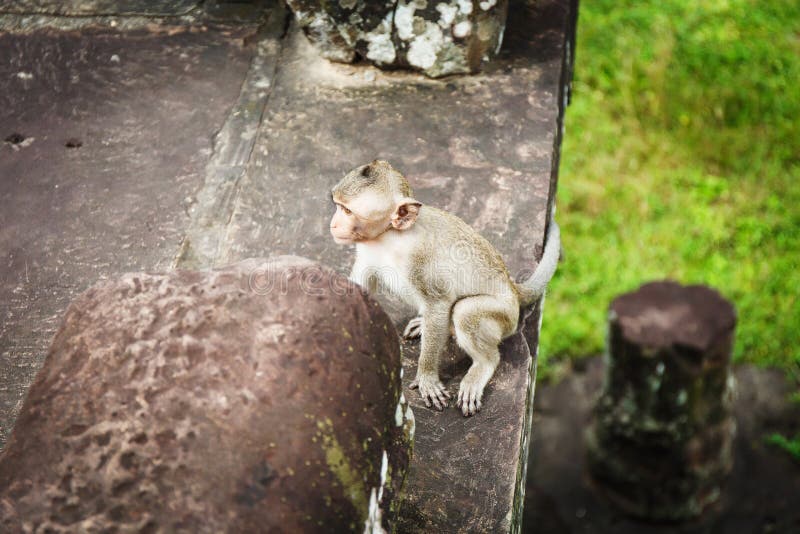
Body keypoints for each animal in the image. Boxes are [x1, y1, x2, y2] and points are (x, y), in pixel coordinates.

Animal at [330, 160, 560, 416]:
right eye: (338, 206)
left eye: (348, 211)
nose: (333, 224)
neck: (390, 236)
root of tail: (512, 287)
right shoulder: (367, 250)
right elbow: (355, 292)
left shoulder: (421, 261)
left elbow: (439, 303)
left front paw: (427, 378)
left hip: (505, 316)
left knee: (464, 312)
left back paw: (483, 364)